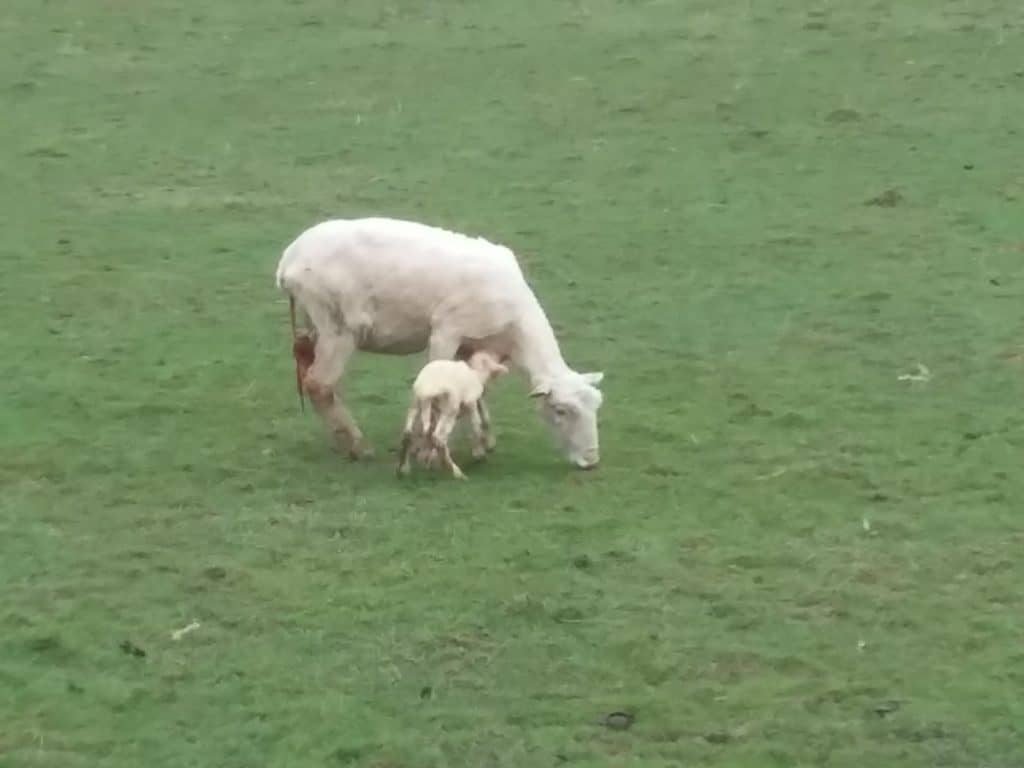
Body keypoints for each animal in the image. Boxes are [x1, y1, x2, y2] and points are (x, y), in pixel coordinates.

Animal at [396, 351, 509, 479]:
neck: (477, 374)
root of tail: (427, 390)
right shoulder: (470, 404)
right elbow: (476, 426)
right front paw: (480, 453)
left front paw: (429, 459)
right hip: (449, 409)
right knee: (438, 437)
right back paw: (457, 472)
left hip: (417, 405)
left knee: (409, 434)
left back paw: (403, 468)